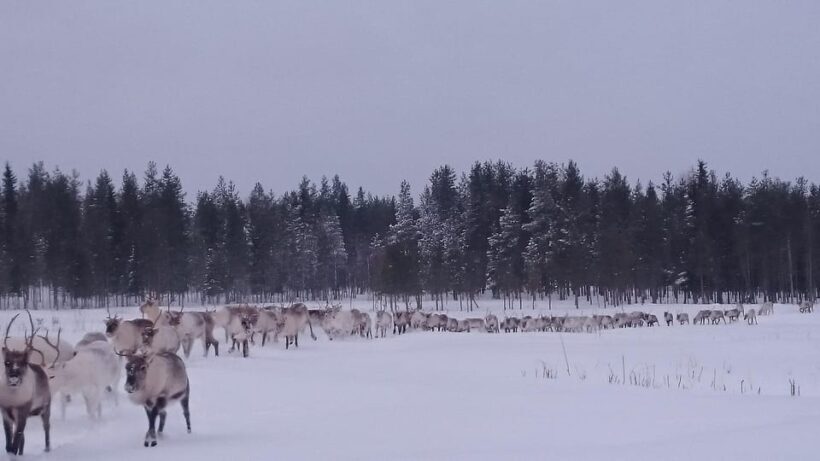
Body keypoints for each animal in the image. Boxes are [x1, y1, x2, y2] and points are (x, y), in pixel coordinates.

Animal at [0, 312, 52, 455]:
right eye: (6, 362)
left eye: (24, 363)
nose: (13, 378)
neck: (13, 399)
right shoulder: (5, 411)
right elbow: (10, 445)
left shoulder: (23, 410)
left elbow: (15, 443)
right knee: (22, 439)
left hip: (46, 407)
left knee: (46, 427)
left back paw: (47, 448)